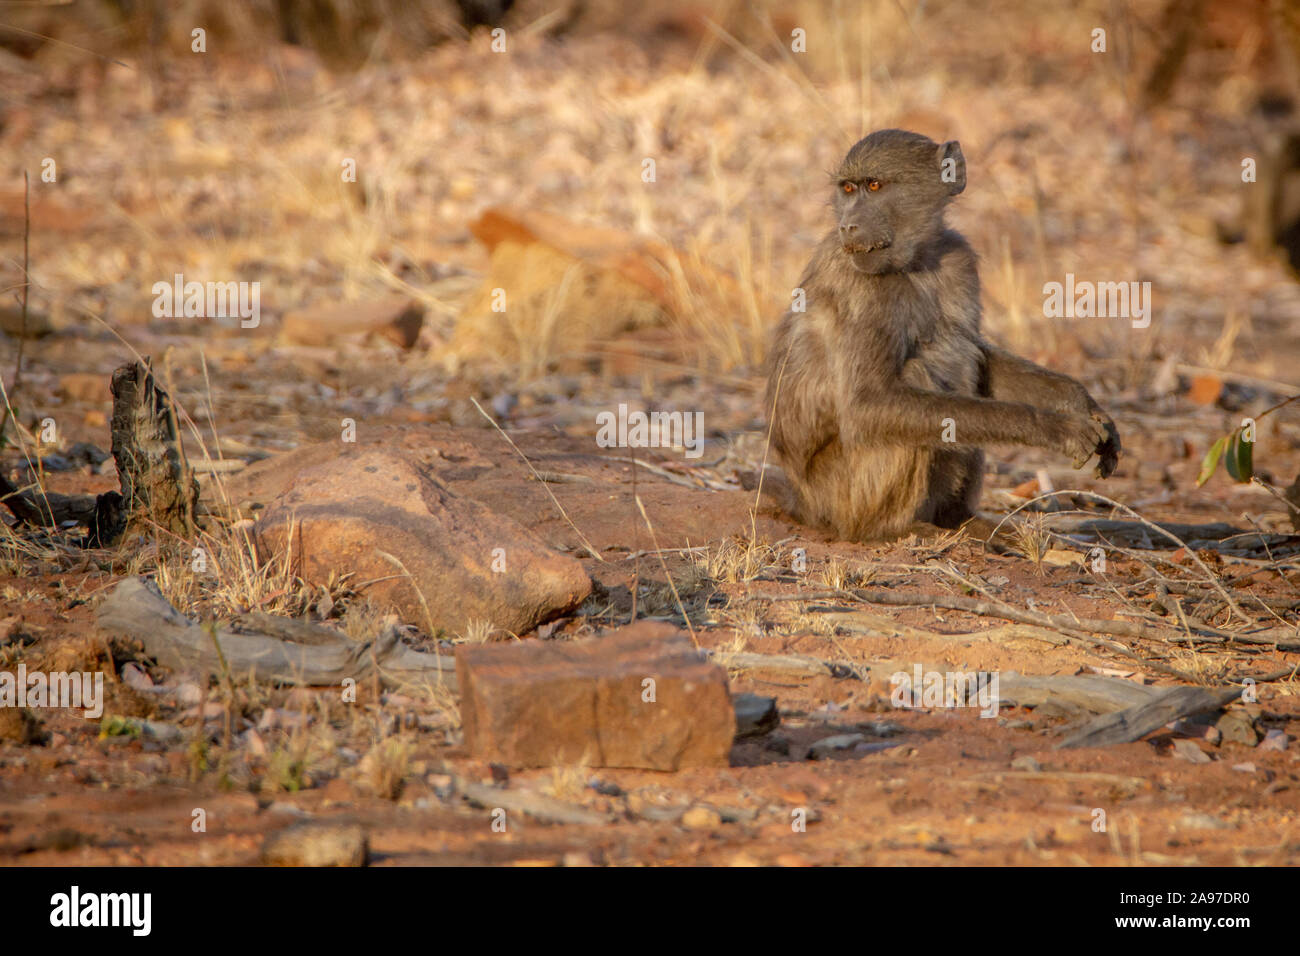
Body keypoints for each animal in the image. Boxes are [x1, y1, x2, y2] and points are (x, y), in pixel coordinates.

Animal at [764, 129, 1121, 543]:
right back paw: (894, 531)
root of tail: (802, 504)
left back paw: (961, 520)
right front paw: (1052, 426)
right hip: (841, 498)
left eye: (874, 185)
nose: (848, 226)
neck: (916, 260)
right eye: (848, 189)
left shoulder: (958, 258)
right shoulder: (864, 290)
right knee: (918, 375)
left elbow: (979, 355)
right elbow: (866, 403)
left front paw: (1082, 402)